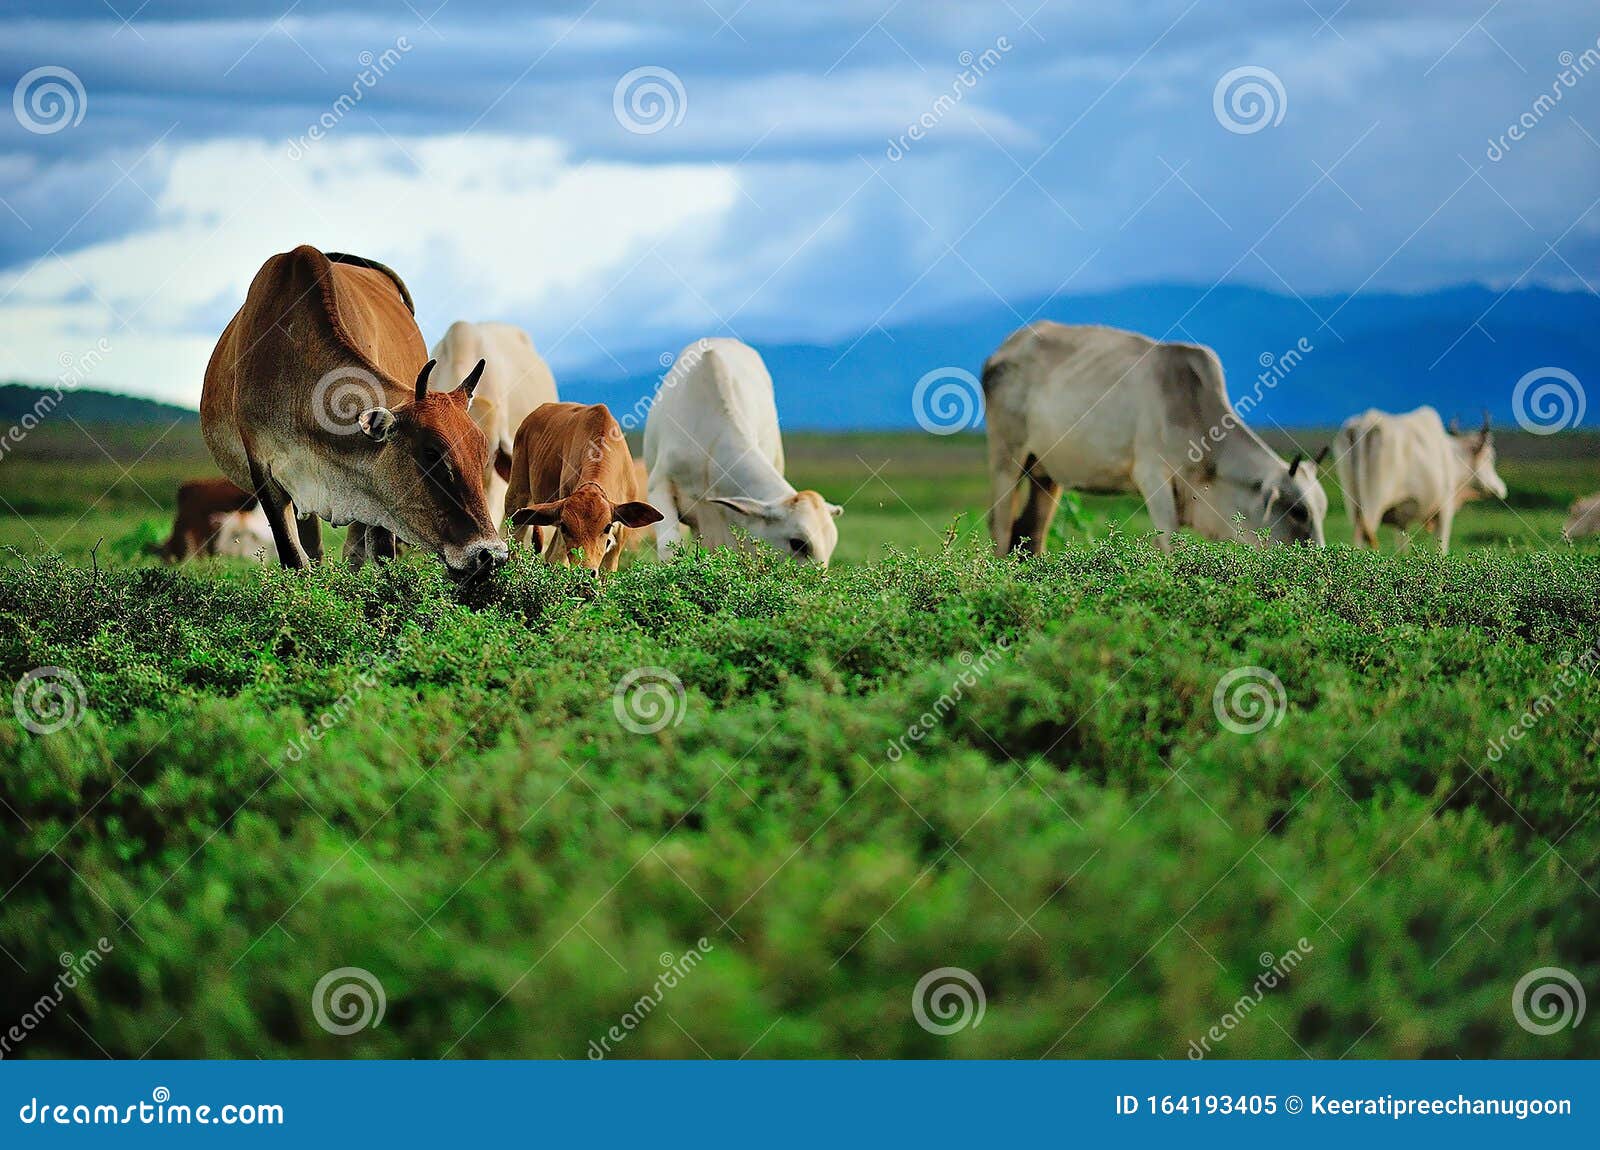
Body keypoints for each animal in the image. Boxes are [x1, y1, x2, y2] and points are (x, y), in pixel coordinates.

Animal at [200, 246, 507, 580]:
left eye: (482, 453)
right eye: (431, 453)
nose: (491, 554)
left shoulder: (374, 494)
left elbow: (379, 556)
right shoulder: (265, 473)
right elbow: (295, 558)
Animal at [504, 402, 662, 573]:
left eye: (607, 527)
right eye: (565, 527)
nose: (586, 571)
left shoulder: (618, 540)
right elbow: (558, 561)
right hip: (516, 498)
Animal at [981, 323, 1328, 555]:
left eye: (1321, 509)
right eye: (1299, 511)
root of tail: (1003, 349)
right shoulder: (1153, 476)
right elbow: (1169, 541)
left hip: (1046, 473)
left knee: (1032, 532)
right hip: (1006, 459)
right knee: (1001, 526)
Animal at [1335, 408, 1507, 553]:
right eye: (1490, 457)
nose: (1501, 489)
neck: (1453, 458)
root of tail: (1365, 422)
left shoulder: (1401, 519)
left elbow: (1402, 546)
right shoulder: (1445, 508)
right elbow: (1441, 547)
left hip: (1352, 504)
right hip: (1373, 503)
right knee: (1364, 533)